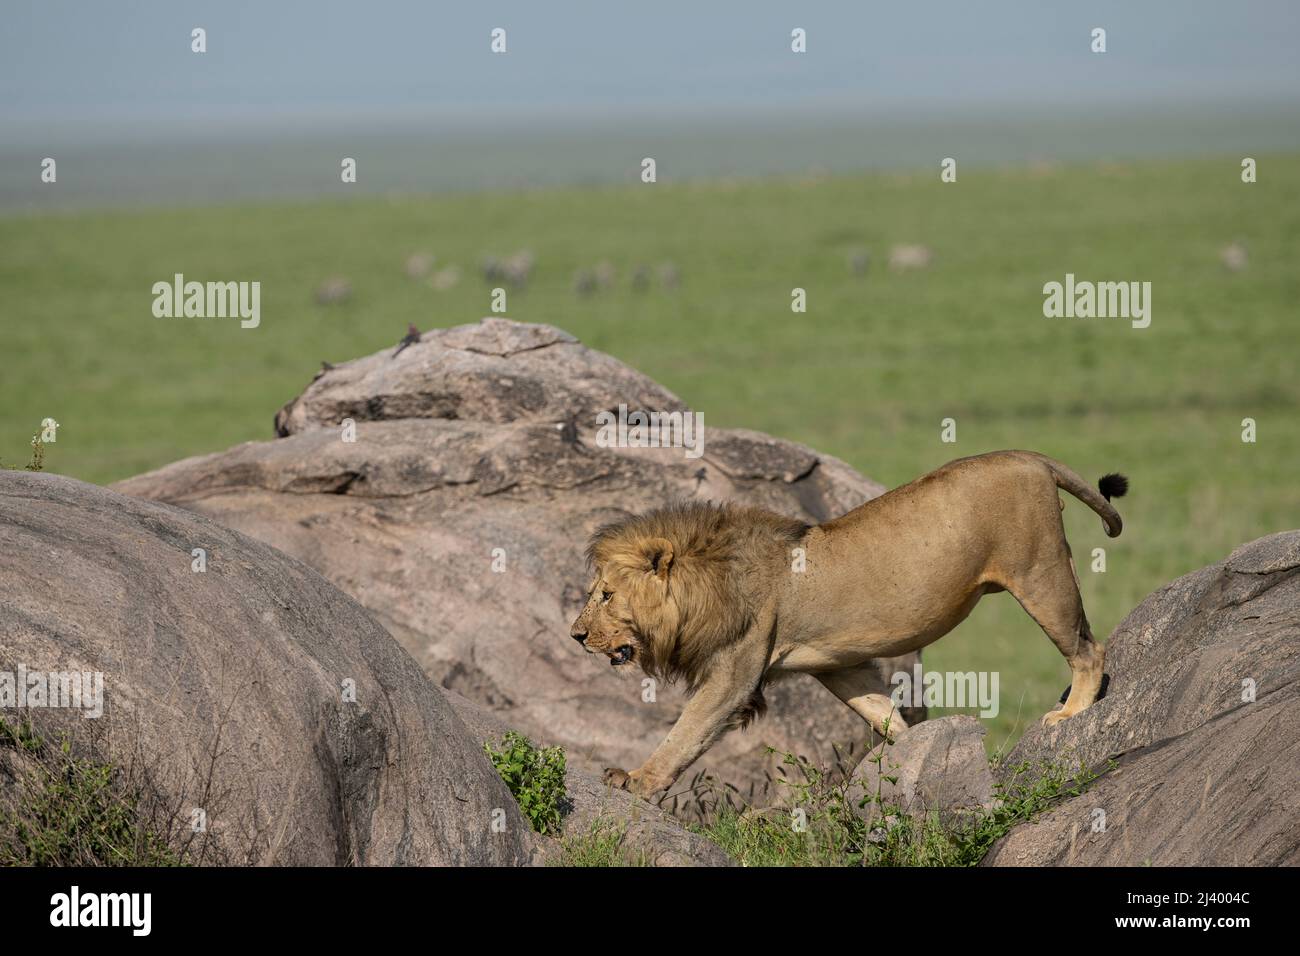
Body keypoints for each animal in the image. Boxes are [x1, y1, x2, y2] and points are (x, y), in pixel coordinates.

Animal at [569, 450, 1128, 799]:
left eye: (606, 594)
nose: (576, 635)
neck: (710, 581)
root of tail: (1031, 458)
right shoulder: (838, 665)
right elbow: (883, 714)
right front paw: (911, 756)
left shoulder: (735, 673)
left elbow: (686, 733)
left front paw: (637, 781)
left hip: (1040, 573)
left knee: (1088, 649)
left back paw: (1071, 713)